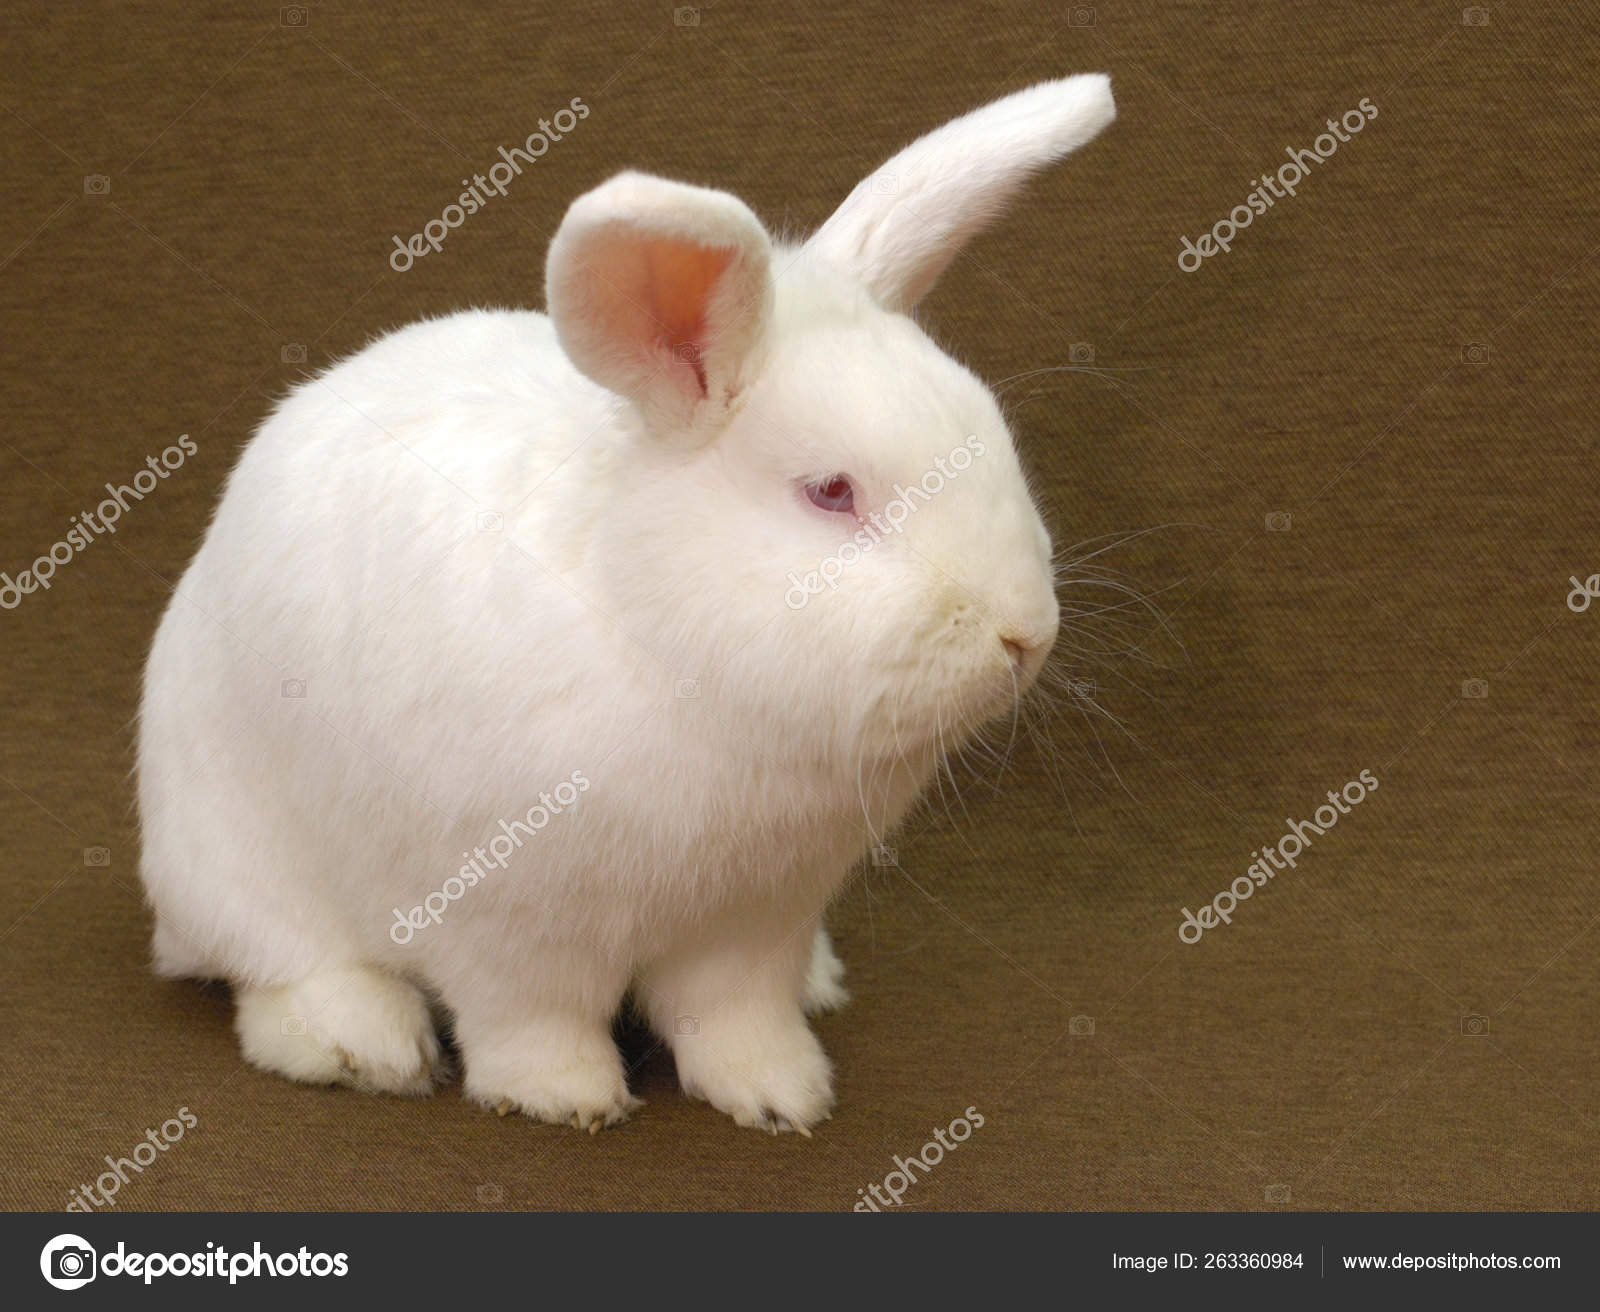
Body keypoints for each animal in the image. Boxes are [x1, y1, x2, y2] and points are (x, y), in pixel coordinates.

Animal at [136, 74, 1116, 1133]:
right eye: (830, 493)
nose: (1026, 635)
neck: (661, 640)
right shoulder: (505, 920)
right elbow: (530, 1019)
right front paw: (567, 1099)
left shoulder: (758, 921)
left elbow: (737, 1016)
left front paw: (782, 1095)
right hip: (238, 857)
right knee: (278, 967)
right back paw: (364, 1046)